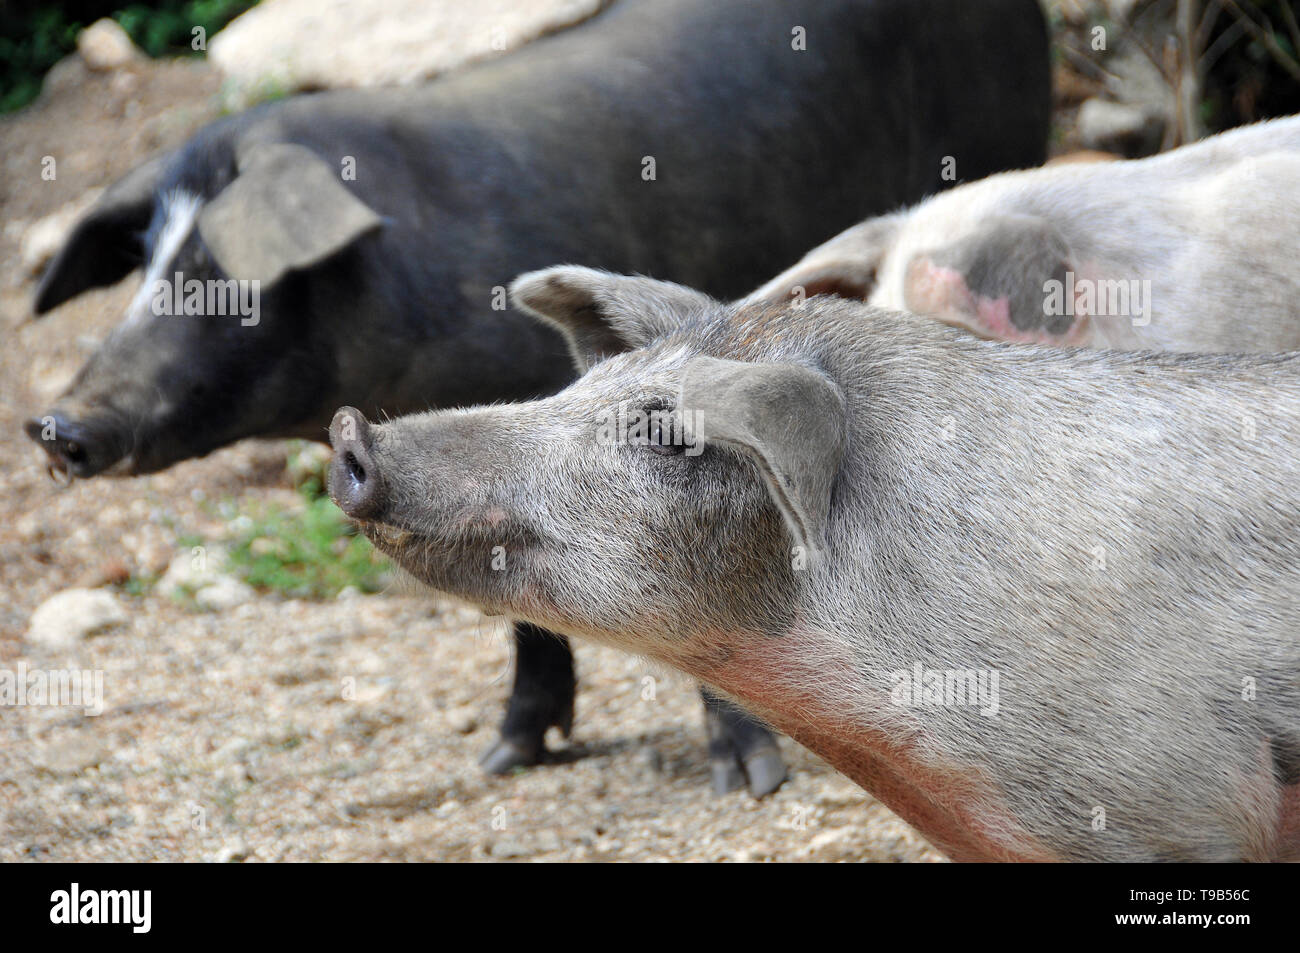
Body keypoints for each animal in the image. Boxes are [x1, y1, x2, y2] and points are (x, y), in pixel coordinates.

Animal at [23, 0, 1053, 792]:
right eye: (145, 267)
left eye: (215, 277)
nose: (54, 424)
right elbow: (525, 614)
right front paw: (506, 758)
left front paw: (748, 782)